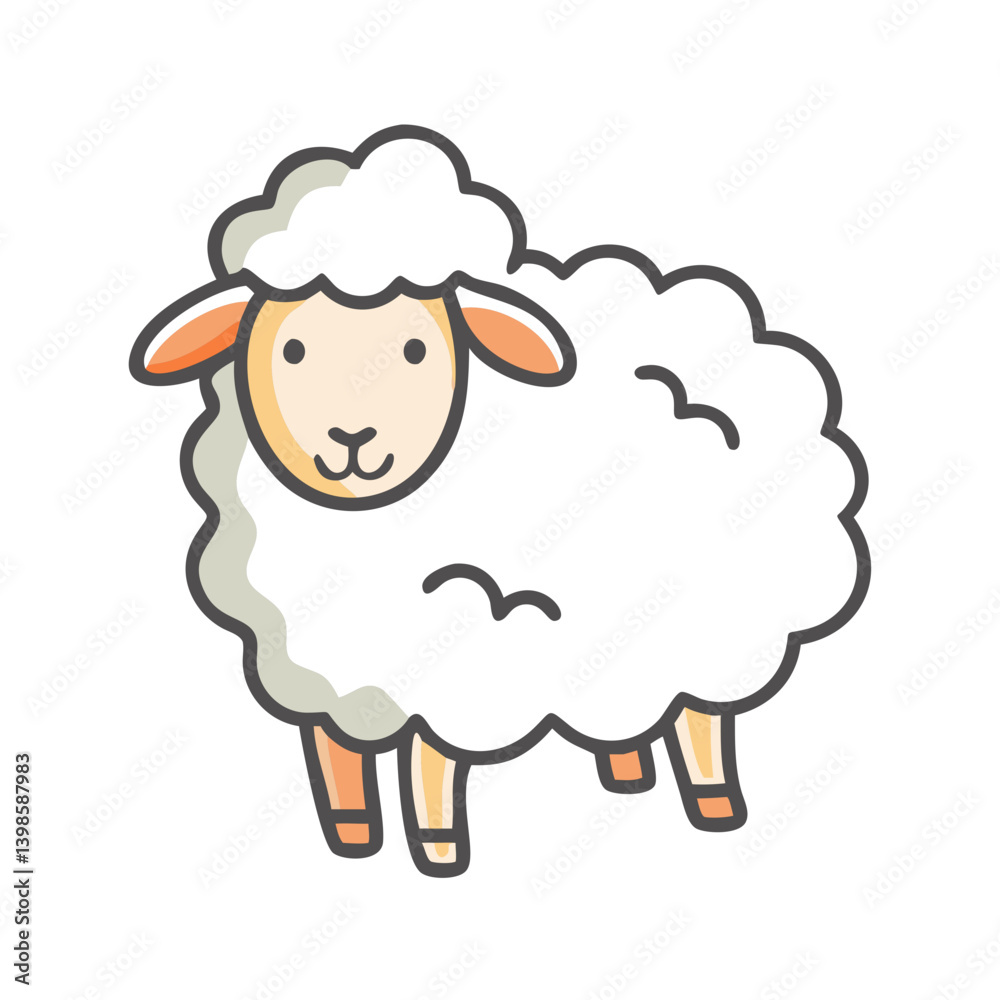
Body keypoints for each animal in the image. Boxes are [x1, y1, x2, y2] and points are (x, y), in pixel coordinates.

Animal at [130, 125, 869, 877]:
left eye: (418, 348)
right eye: (292, 349)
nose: (352, 442)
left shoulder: (451, 662)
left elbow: (431, 767)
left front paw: (438, 848)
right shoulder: (315, 670)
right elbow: (339, 766)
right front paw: (352, 837)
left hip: (720, 627)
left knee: (701, 717)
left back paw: (714, 803)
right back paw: (626, 771)